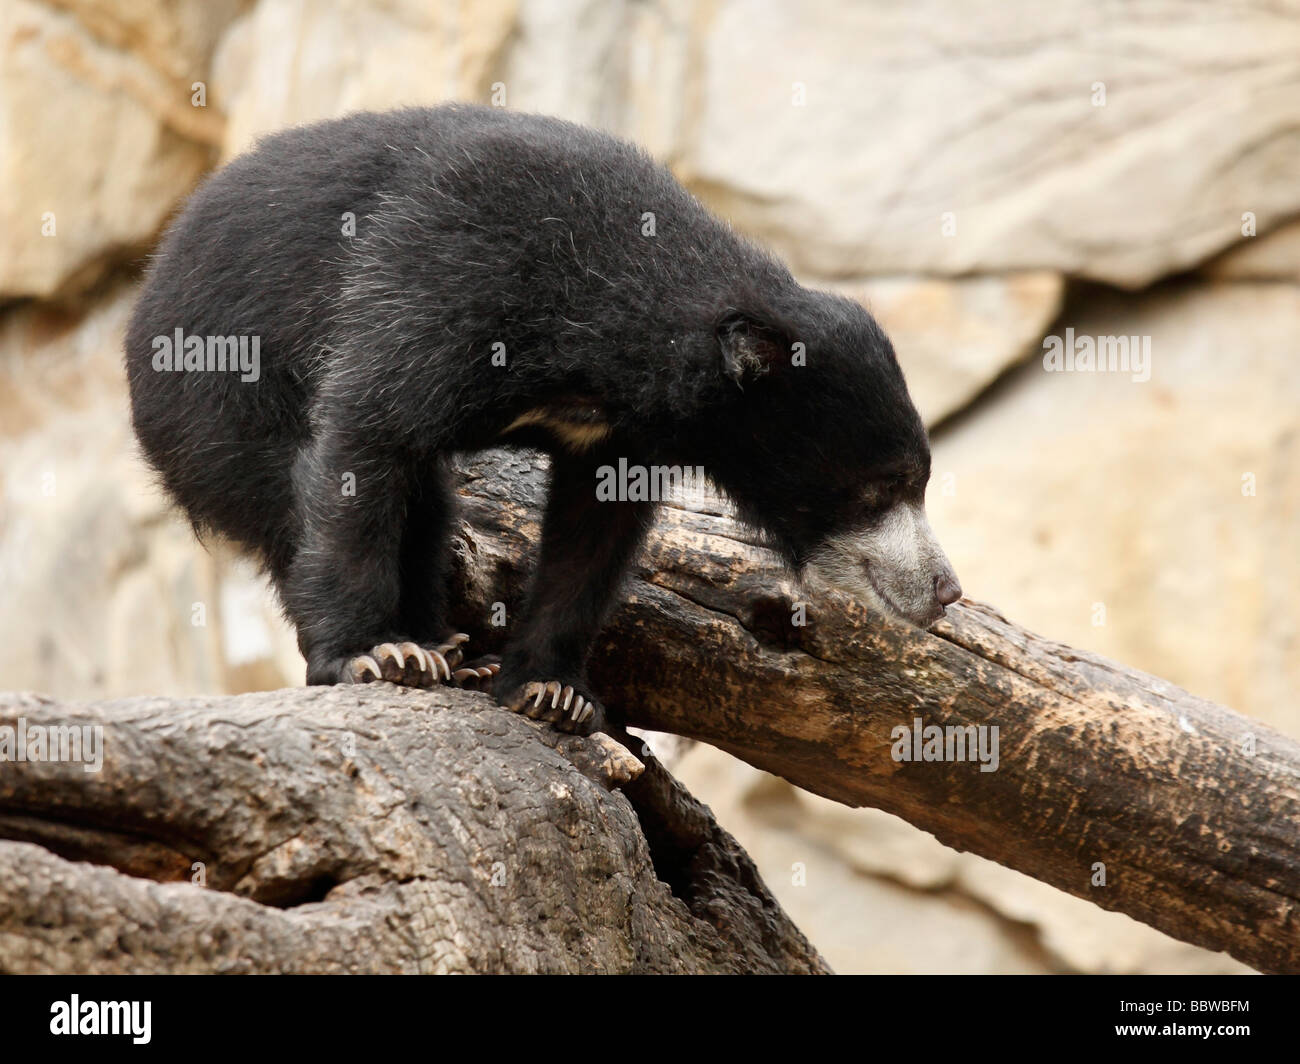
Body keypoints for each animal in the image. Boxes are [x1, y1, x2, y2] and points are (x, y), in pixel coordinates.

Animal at [125, 104, 961, 736]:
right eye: (881, 487)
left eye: (918, 482)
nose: (945, 589)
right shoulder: (447, 284)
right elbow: (368, 430)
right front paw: (370, 657)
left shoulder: (621, 434)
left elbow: (594, 532)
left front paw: (551, 692)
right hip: (215, 403)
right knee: (289, 499)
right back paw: (416, 649)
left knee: (426, 510)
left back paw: (451, 649)